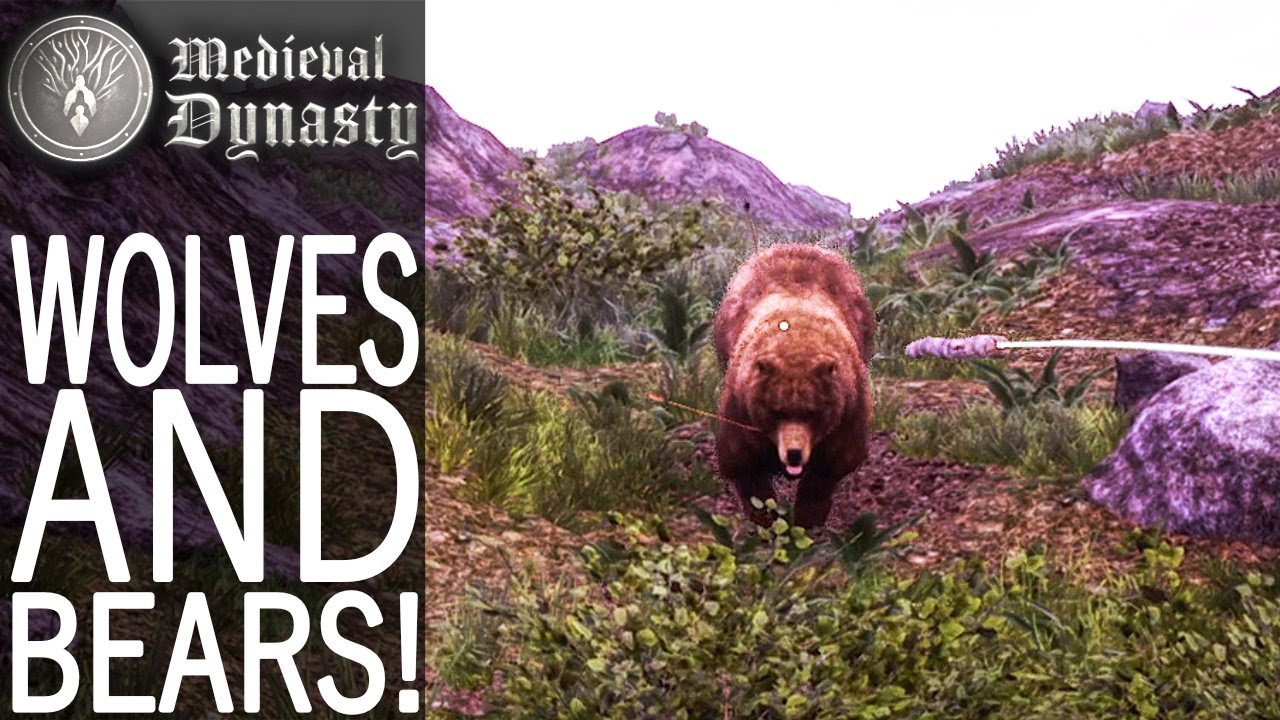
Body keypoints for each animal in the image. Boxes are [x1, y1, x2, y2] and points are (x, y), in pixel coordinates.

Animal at [713, 244, 875, 529]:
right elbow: (741, 461)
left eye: (812, 413)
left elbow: (834, 462)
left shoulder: (848, 407)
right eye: (777, 411)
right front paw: (766, 517)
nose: (794, 454)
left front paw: (807, 518)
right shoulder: (740, 405)